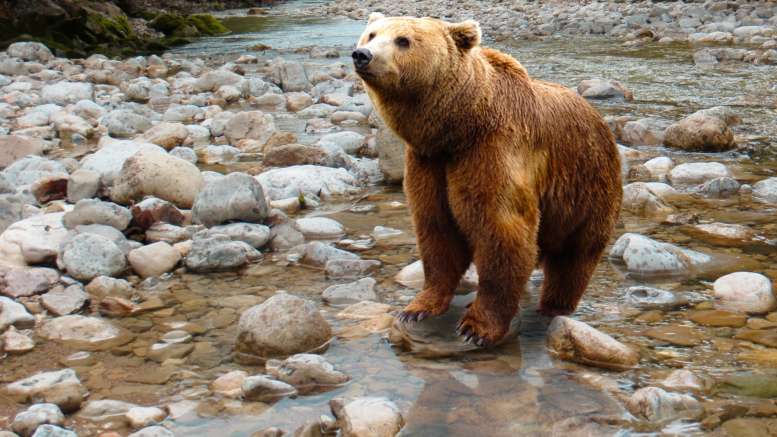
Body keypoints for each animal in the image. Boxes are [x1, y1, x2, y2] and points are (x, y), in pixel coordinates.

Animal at [353, 13, 622, 346]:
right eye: (371, 34)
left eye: (403, 40)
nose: (362, 55)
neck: (457, 128)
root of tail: (600, 119)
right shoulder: (429, 163)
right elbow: (436, 230)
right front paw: (417, 308)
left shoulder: (492, 151)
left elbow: (501, 230)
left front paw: (476, 327)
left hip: (587, 187)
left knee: (574, 258)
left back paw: (553, 305)